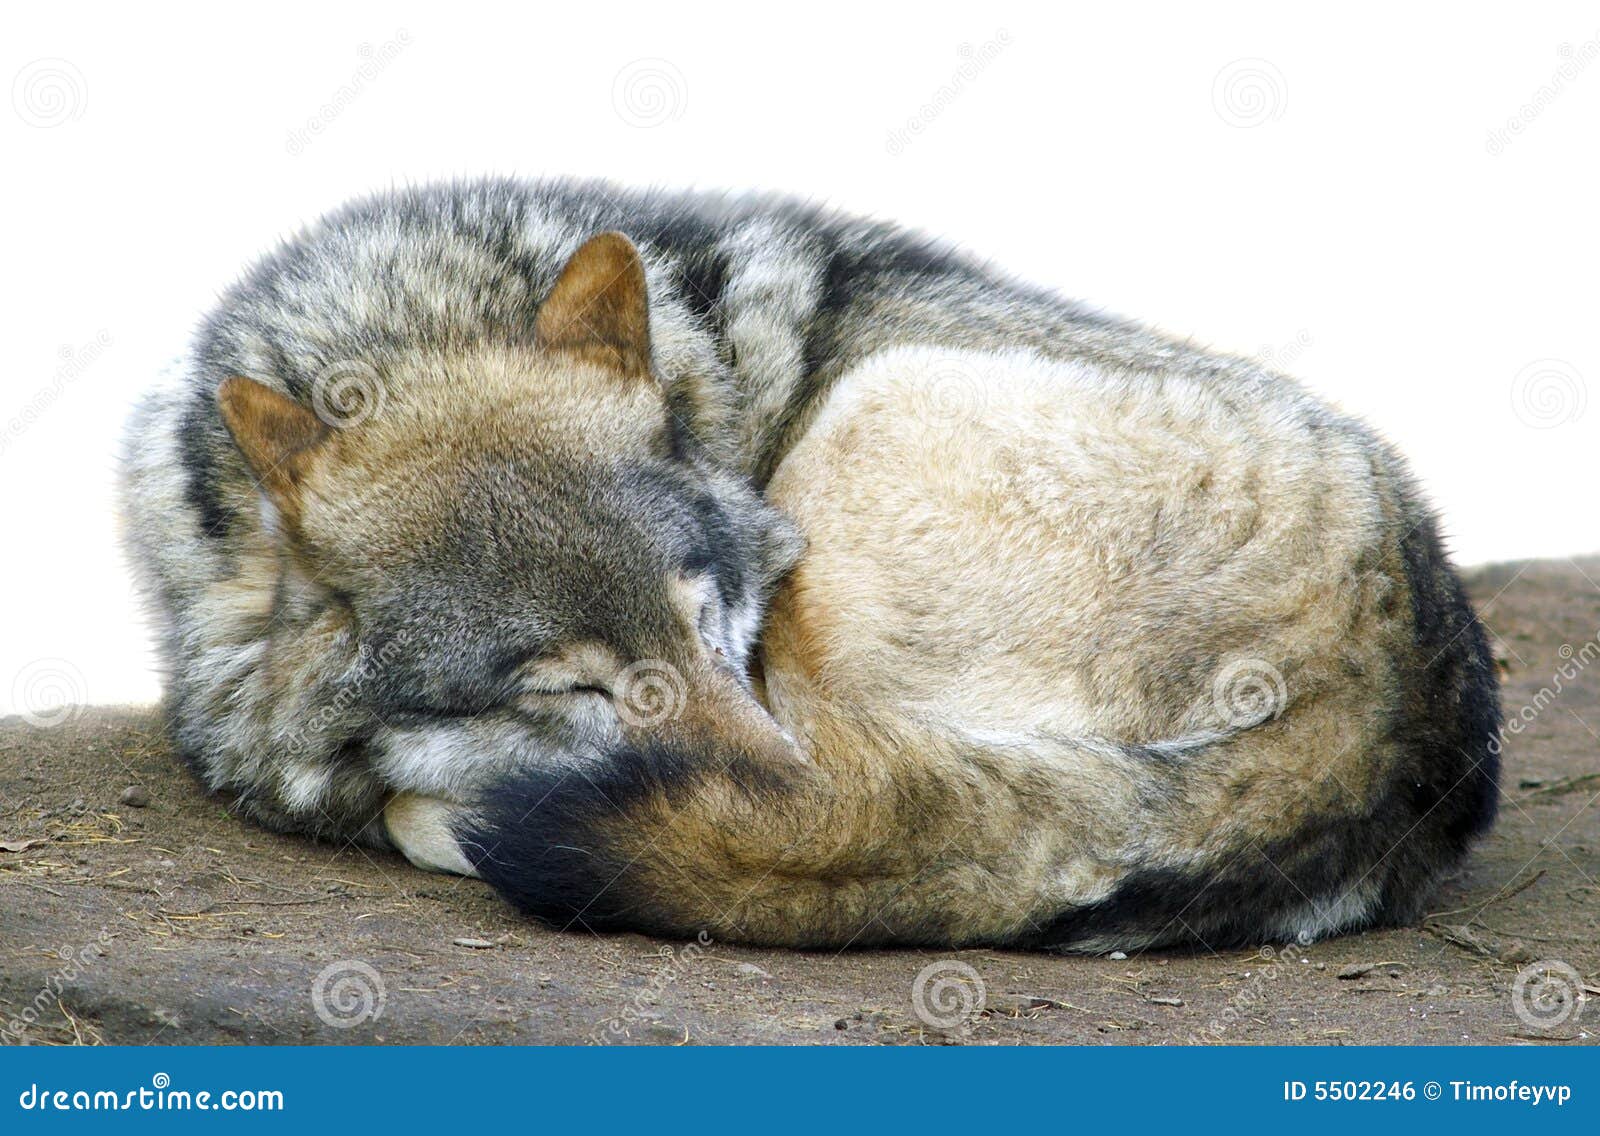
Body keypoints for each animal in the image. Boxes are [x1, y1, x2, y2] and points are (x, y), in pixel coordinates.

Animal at [120, 178, 1500, 950]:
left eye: (709, 618)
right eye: (572, 685)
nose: (772, 788)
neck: (406, 325)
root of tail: (1391, 700)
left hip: (867, 423)